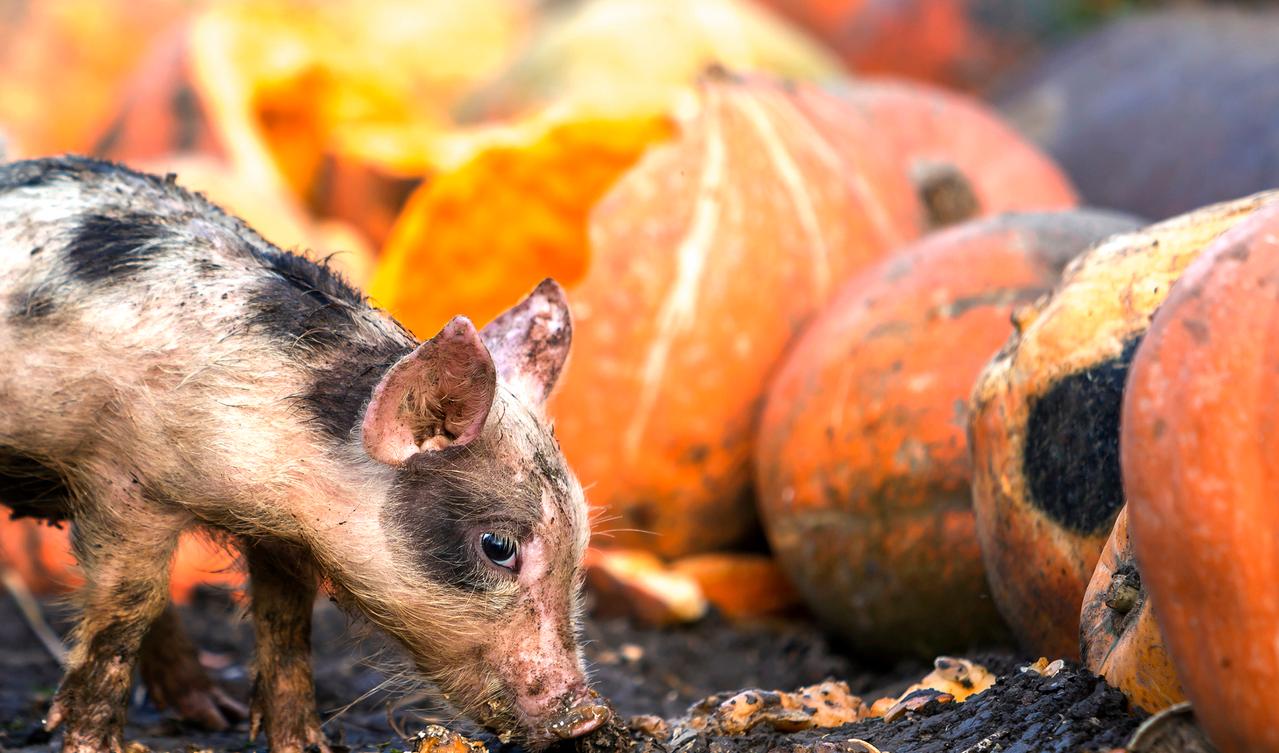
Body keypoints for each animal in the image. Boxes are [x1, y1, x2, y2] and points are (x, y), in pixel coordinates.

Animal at [0, 156, 608, 753]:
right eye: (498, 546)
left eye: (580, 541)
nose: (589, 716)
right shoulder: (123, 482)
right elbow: (125, 612)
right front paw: (92, 745)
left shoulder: (280, 536)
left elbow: (286, 627)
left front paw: (302, 744)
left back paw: (215, 715)